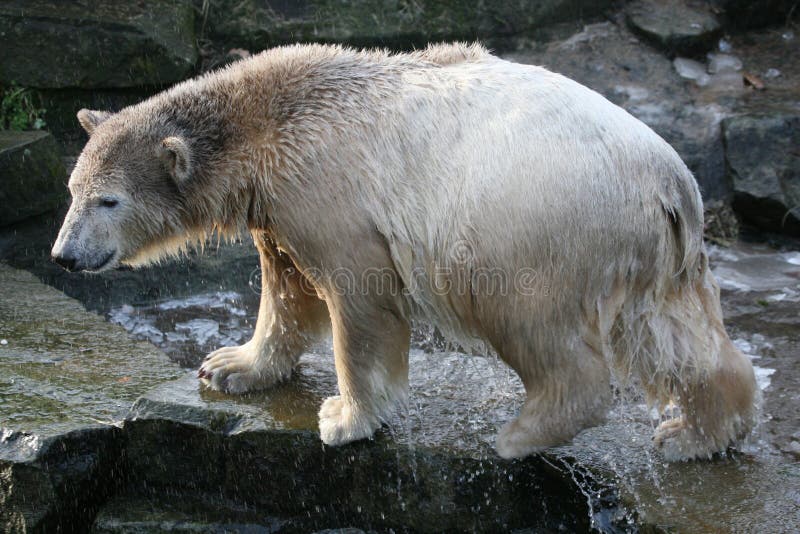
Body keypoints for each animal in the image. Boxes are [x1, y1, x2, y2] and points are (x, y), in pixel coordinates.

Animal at [51, 42, 757, 461]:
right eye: (72, 190)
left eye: (108, 201)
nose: (63, 255)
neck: (268, 118)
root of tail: (670, 181)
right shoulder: (278, 203)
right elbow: (284, 289)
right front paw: (230, 366)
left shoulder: (329, 191)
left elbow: (354, 300)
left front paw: (344, 417)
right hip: (650, 250)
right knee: (672, 334)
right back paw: (694, 432)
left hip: (534, 226)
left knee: (533, 322)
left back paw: (520, 433)